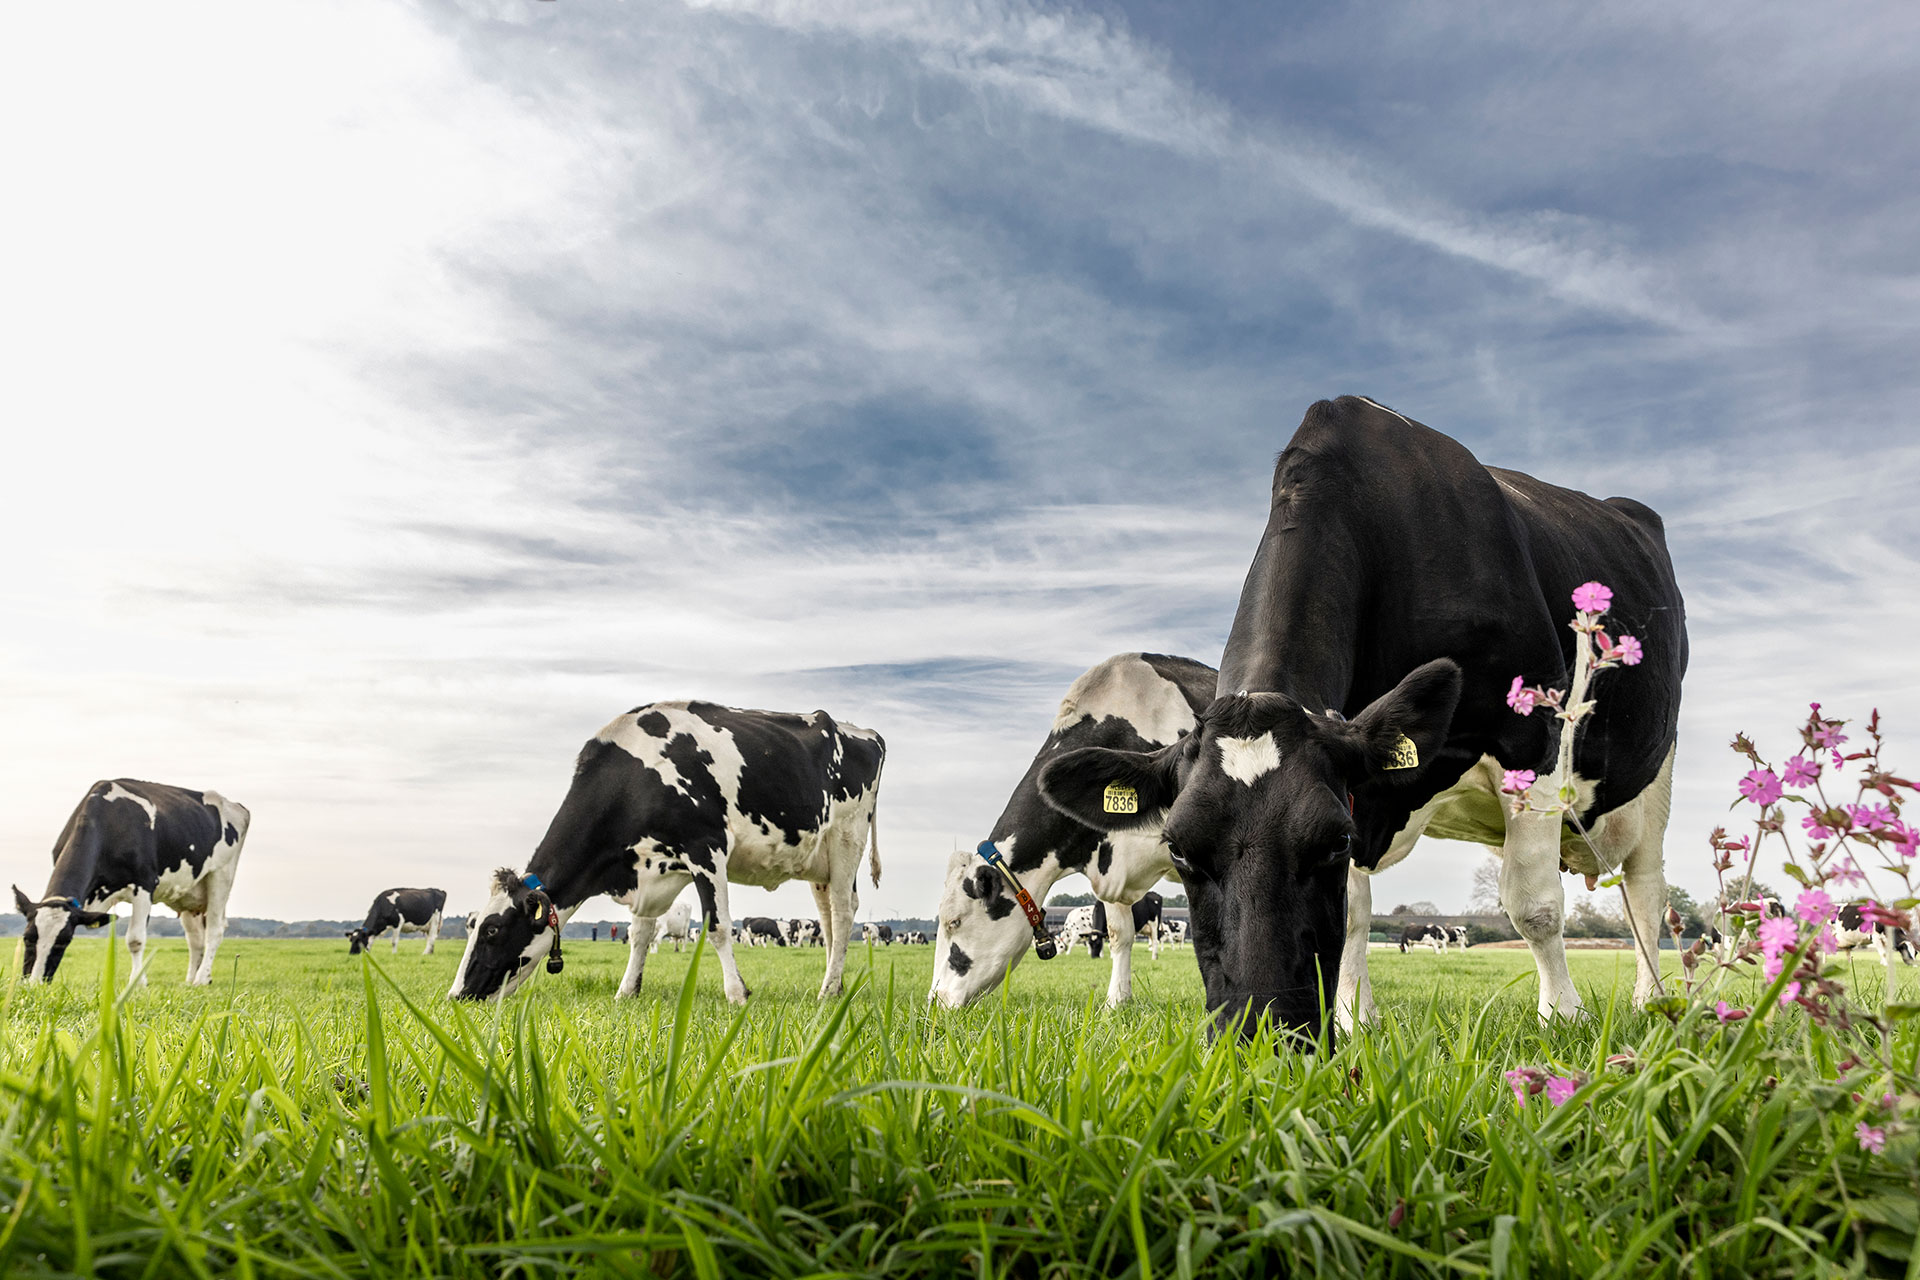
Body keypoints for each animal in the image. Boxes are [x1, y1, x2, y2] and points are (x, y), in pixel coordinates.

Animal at [14, 778, 249, 986]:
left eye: (64, 941)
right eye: (27, 938)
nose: (34, 983)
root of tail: (236, 806)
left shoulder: (145, 884)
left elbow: (135, 940)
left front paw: (137, 982)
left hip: (221, 876)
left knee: (214, 930)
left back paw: (201, 979)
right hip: (188, 895)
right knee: (195, 938)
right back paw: (191, 979)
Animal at [449, 701, 883, 1005]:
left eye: (492, 930)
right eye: (472, 926)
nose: (456, 996)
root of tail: (861, 730)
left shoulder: (707, 847)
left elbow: (718, 926)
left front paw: (737, 994)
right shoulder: (650, 866)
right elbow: (639, 933)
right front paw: (627, 991)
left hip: (847, 839)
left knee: (843, 914)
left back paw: (826, 992)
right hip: (818, 861)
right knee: (828, 919)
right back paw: (835, 985)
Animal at [1040, 397, 1687, 1038]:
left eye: (1335, 841)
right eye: (1177, 849)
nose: (1263, 1032)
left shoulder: (1529, 738)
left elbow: (1534, 903)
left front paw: (1562, 1018)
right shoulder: (1355, 779)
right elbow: (1354, 913)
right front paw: (1356, 1019)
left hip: (1656, 772)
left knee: (1645, 890)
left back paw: (1651, 1000)